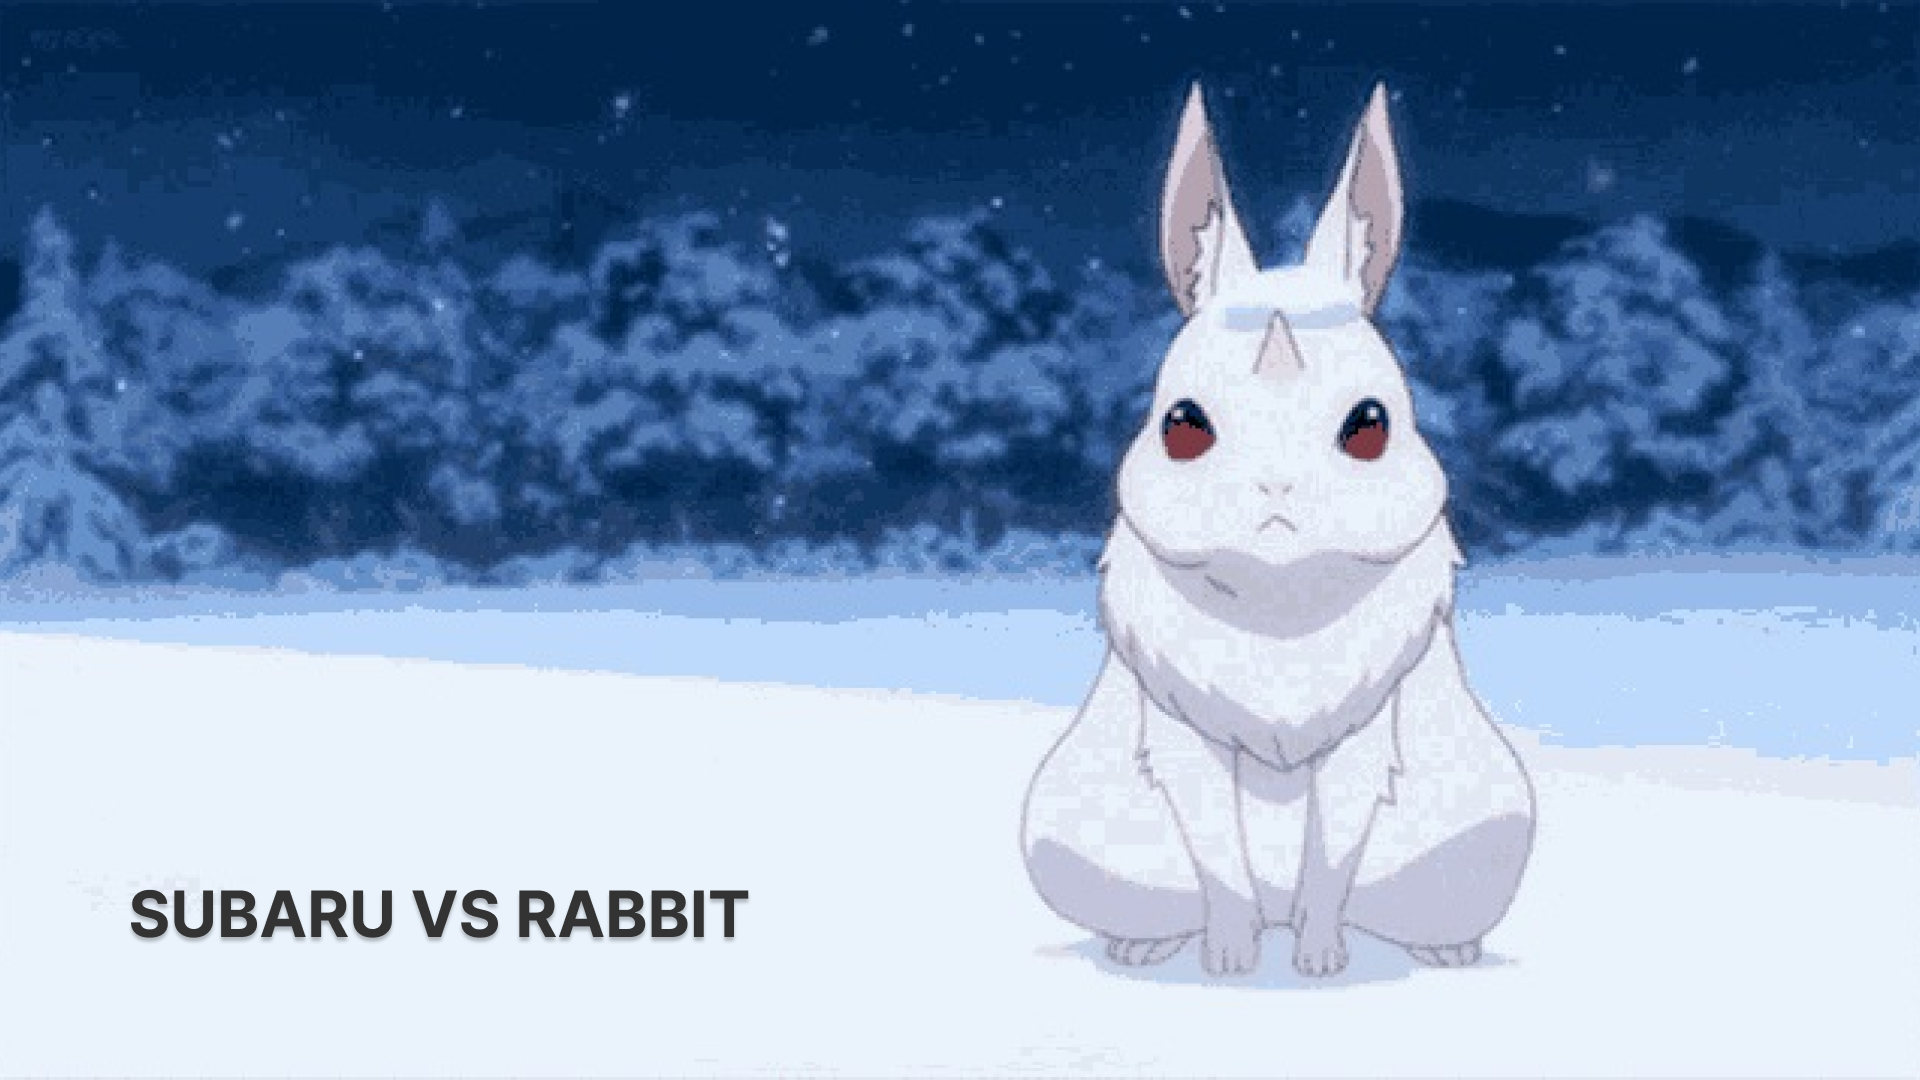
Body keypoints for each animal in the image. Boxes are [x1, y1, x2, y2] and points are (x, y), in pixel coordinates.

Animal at [1021, 83, 1536, 979]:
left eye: (1369, 427)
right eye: (1182, 427)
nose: (1276, 487)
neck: (1278, 600)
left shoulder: (1365, 738)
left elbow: (1332, 856)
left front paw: (1319, 960)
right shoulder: (1182, 737)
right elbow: (1219, 857)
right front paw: (1229, 960)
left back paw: (1439, 949)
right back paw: (1149, 942)